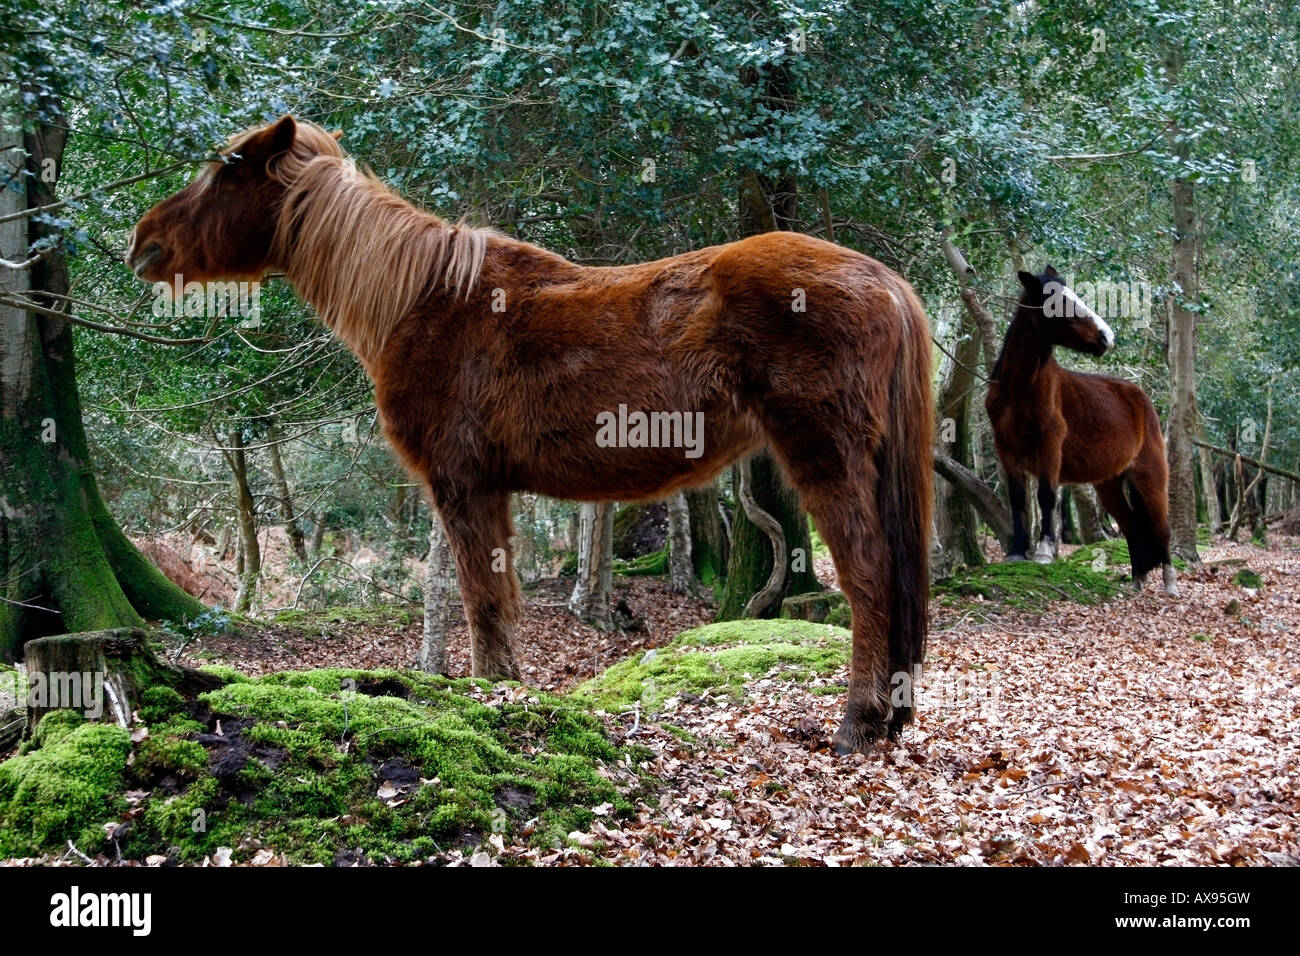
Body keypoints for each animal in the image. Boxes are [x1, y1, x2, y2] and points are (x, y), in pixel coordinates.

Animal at [127, 115, 934, 753]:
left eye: (226, 167)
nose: (143, 240)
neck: (423, 299)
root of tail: (882, 279)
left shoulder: (462, 484)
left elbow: (483, 603)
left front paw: (492, 701)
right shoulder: (491, 490)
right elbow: (497, 600)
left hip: (824, 454)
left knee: (868, 575)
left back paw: (859, 724)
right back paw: (891, 716)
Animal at [985, 267, 1178, 596]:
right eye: (1056, 303)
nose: (1106, 337)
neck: (1019, 390)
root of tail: (1141, 399)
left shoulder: (1050, 446)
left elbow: (1047, 496)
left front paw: (1044, 552)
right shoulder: (1005, 448)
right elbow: (1018, 497)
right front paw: (1017, 552)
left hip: (1150, 476)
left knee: (1161, 526)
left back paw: (1170, 584)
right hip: (1109, 484)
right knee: (1130, 525)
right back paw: (1137, 580)